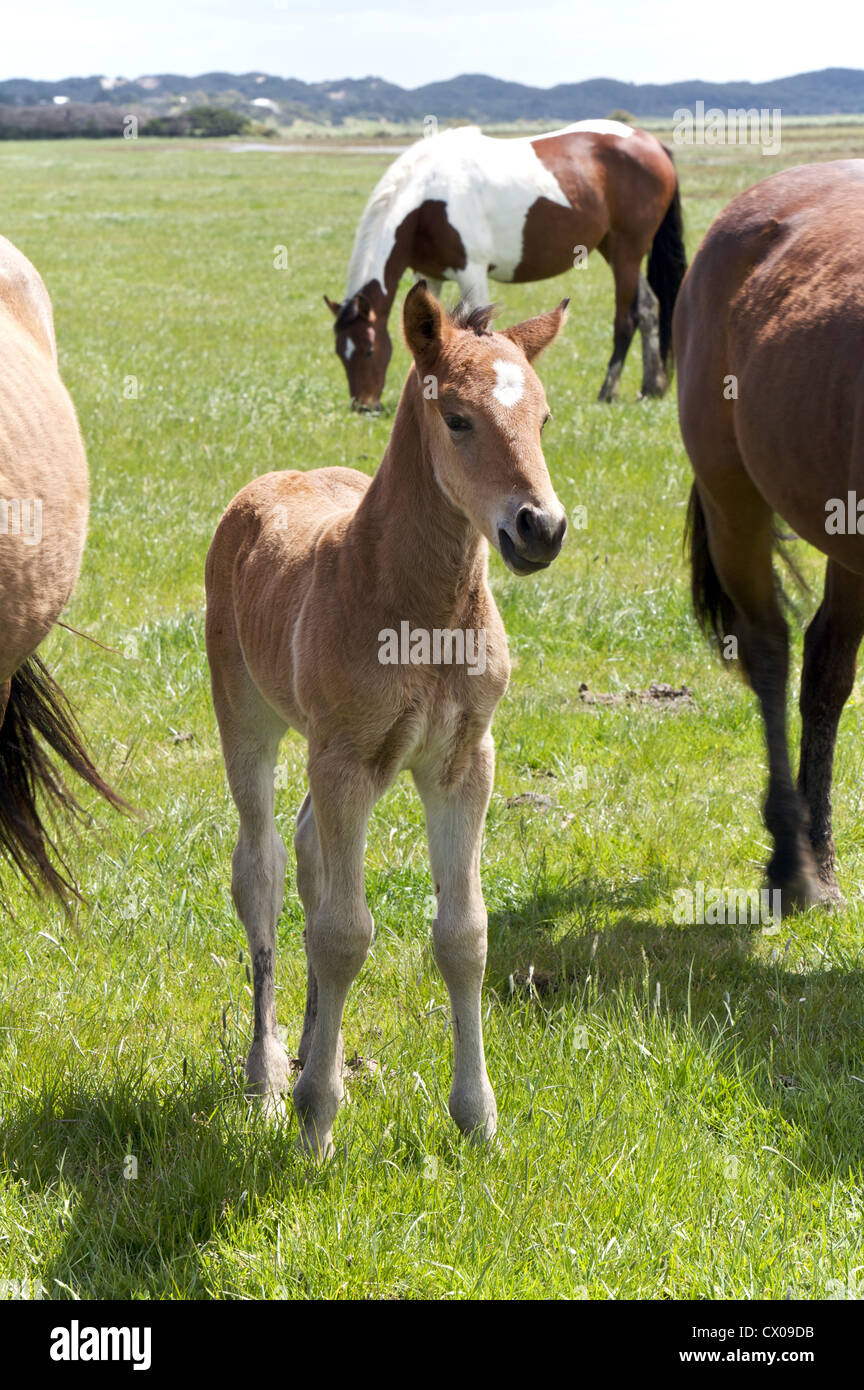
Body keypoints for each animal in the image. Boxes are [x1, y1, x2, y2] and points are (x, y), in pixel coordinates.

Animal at [206, 282, 569, 1157]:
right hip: (250, 719)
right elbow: (344, 934)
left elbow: (464, 934)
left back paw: (312, 1046)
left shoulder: (464, 761)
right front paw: (314, 1119)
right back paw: (268, 1076)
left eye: (543, 418)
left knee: (306, 854)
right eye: (459, 418)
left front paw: (477, 1118)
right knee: (262, 869)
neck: (422, 610)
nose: (541, 527)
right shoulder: (345, 760)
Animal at [324, 120, 686, 411]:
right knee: (649, 309)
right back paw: (651, 387)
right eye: (340, 353)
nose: (363, 406)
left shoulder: (471, 271)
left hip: (627, 252)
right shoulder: (429, 276)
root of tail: (651, 143)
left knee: (627, 318)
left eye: (369, 350)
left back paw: (608, 391)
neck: (426, 200)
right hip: (614, 249)